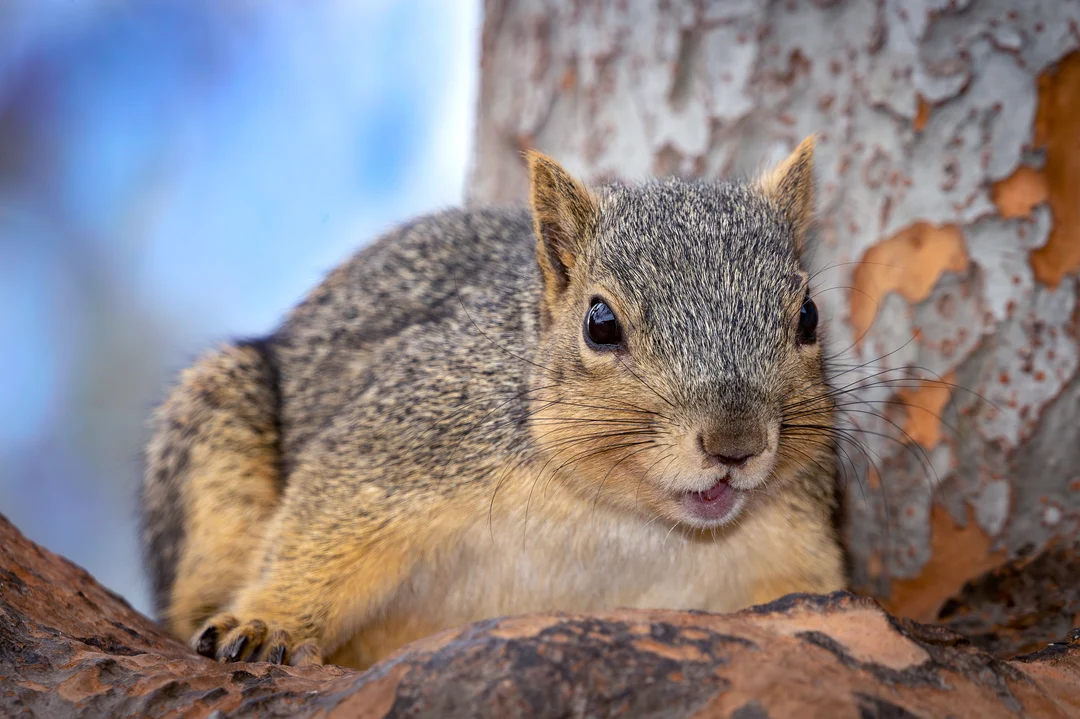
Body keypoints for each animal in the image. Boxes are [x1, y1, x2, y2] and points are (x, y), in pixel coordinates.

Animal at [140, 136, 846, 670]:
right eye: (600, 323)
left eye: (809, 316)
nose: (735, 445)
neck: (622, 513)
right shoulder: (407, 437)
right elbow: (322, 529)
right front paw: (267, 622)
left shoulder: (789, 542)